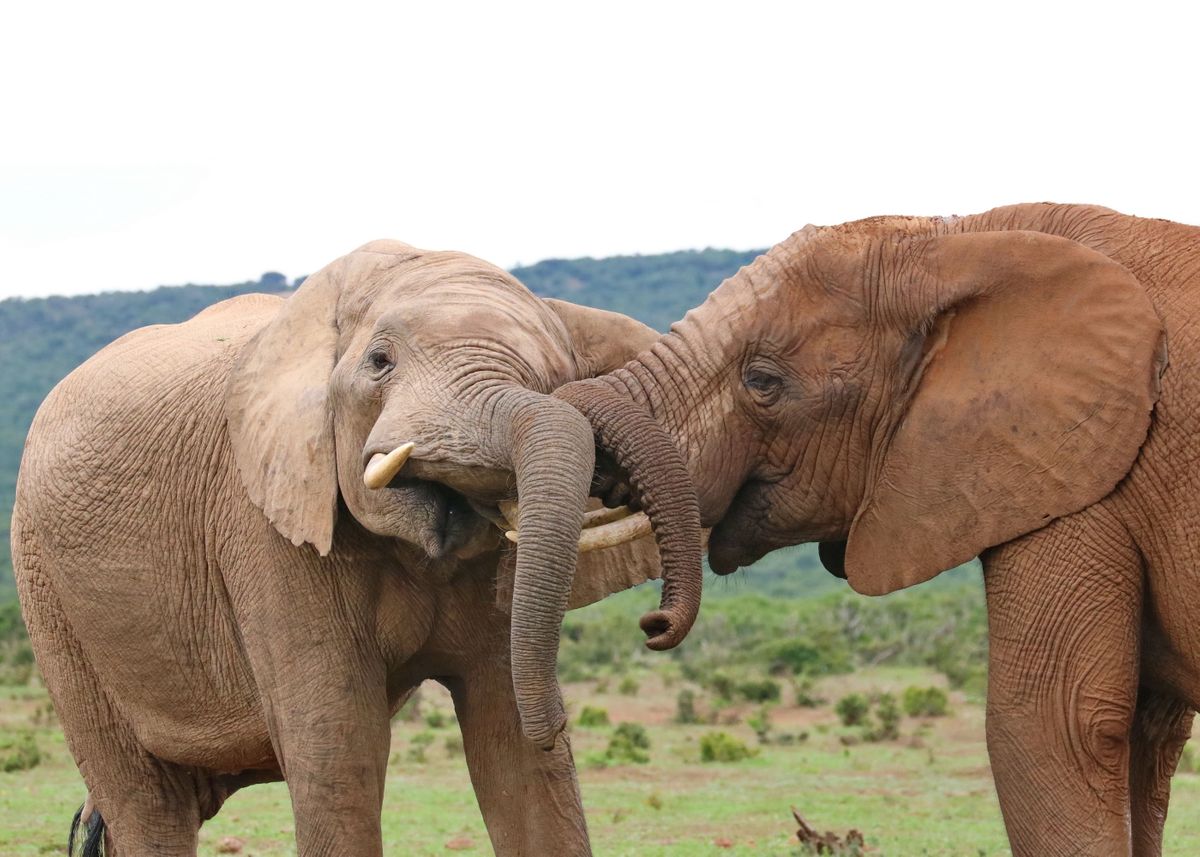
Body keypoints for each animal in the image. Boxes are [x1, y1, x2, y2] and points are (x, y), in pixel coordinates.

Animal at [11, 239, 703, 857]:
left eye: (559, 375)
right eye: (379, 362)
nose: (657, 626)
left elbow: (513, 748)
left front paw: (533, 740)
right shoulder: (264, 523)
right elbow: (339, 751)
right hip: (48, 592)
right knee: (145, 802)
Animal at [560, 203, 1200, 856]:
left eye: (763, 382)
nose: (653, 625)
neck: (961, 239)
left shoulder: (1090, 480)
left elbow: (1051, 727)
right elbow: (1145, 742)